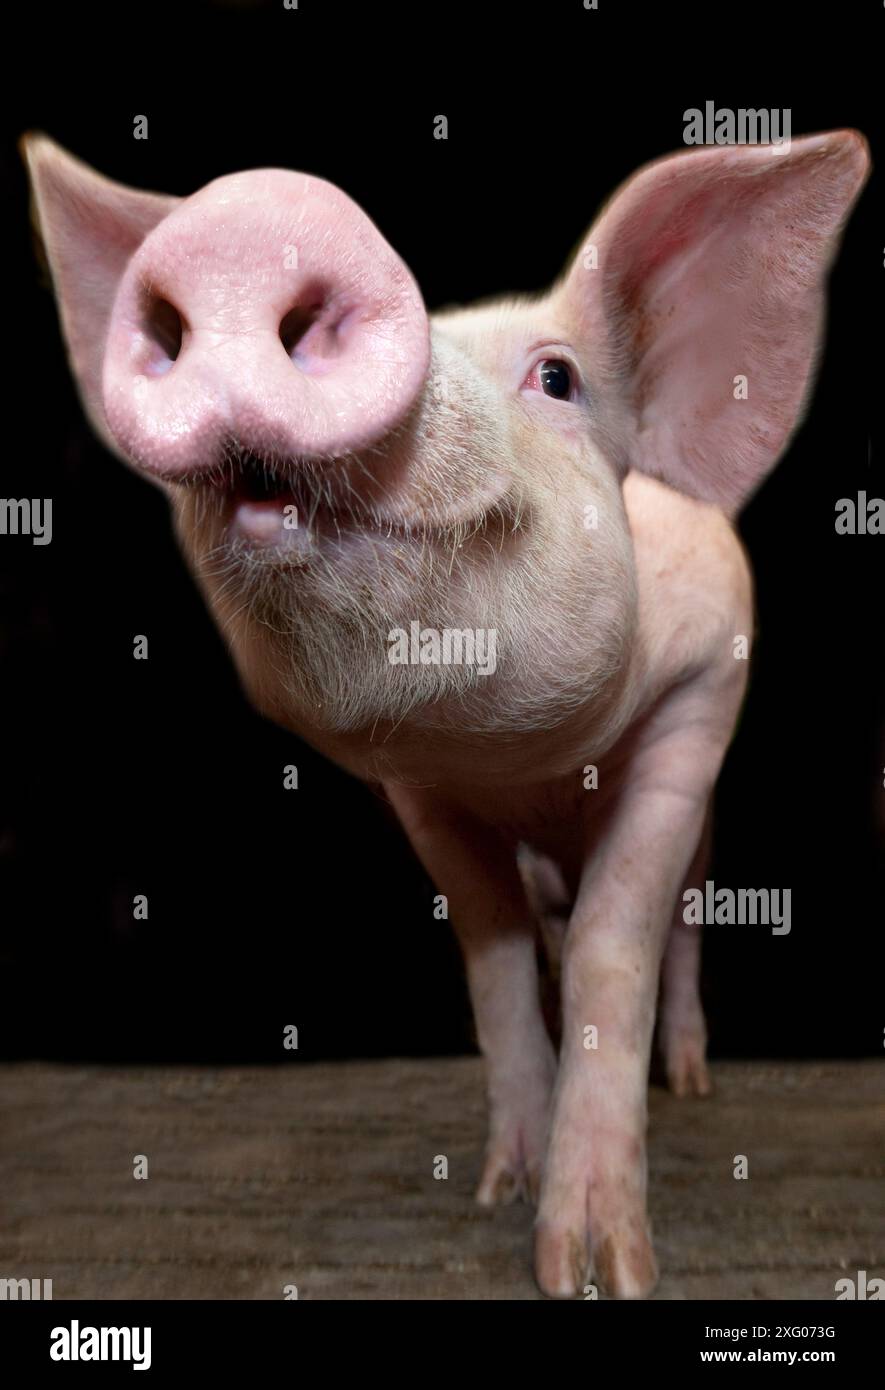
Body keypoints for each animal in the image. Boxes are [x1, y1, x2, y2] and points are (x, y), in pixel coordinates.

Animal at [23, 130, 868, 1298]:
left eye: (557, 378)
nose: (251, 217)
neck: (525, 769)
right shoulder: (423, 792)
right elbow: (493, 947)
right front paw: (500, 1190)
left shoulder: (698, 704)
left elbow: (616, 940)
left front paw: (596, 1269)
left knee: (685, 926)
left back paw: (692, 1081)